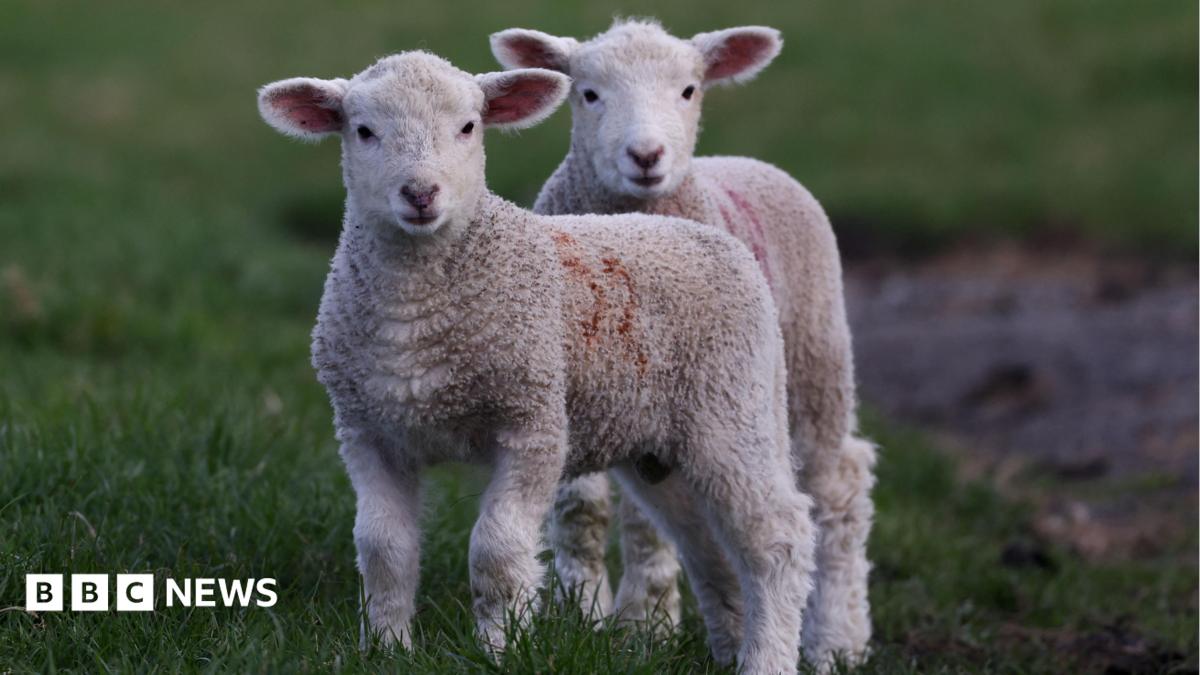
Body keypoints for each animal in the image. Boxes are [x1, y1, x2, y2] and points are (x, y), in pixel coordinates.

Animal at [257, 51, 817, 675]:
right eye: (363, 131)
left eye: (468, 127)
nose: (421, 193)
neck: (416, 315)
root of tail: (712, 238)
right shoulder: (366, 429)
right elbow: (383, 551)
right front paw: (385, 649)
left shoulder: (532, 421)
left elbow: (497, 552)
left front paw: (499, 651)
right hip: (663, 442)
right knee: (706, 543)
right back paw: (731, 645)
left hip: (733, 406)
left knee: (776, 538)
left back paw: (767, 656)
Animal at [491, 18, 877, 669]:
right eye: (588, 94)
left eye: (689, 90)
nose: (646, 156)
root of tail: (743, 162)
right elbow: (581, 510)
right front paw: (582, 612)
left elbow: (645, 529)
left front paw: (643, 626)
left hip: (812, 357)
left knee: (838, 486)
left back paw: (838, 639)